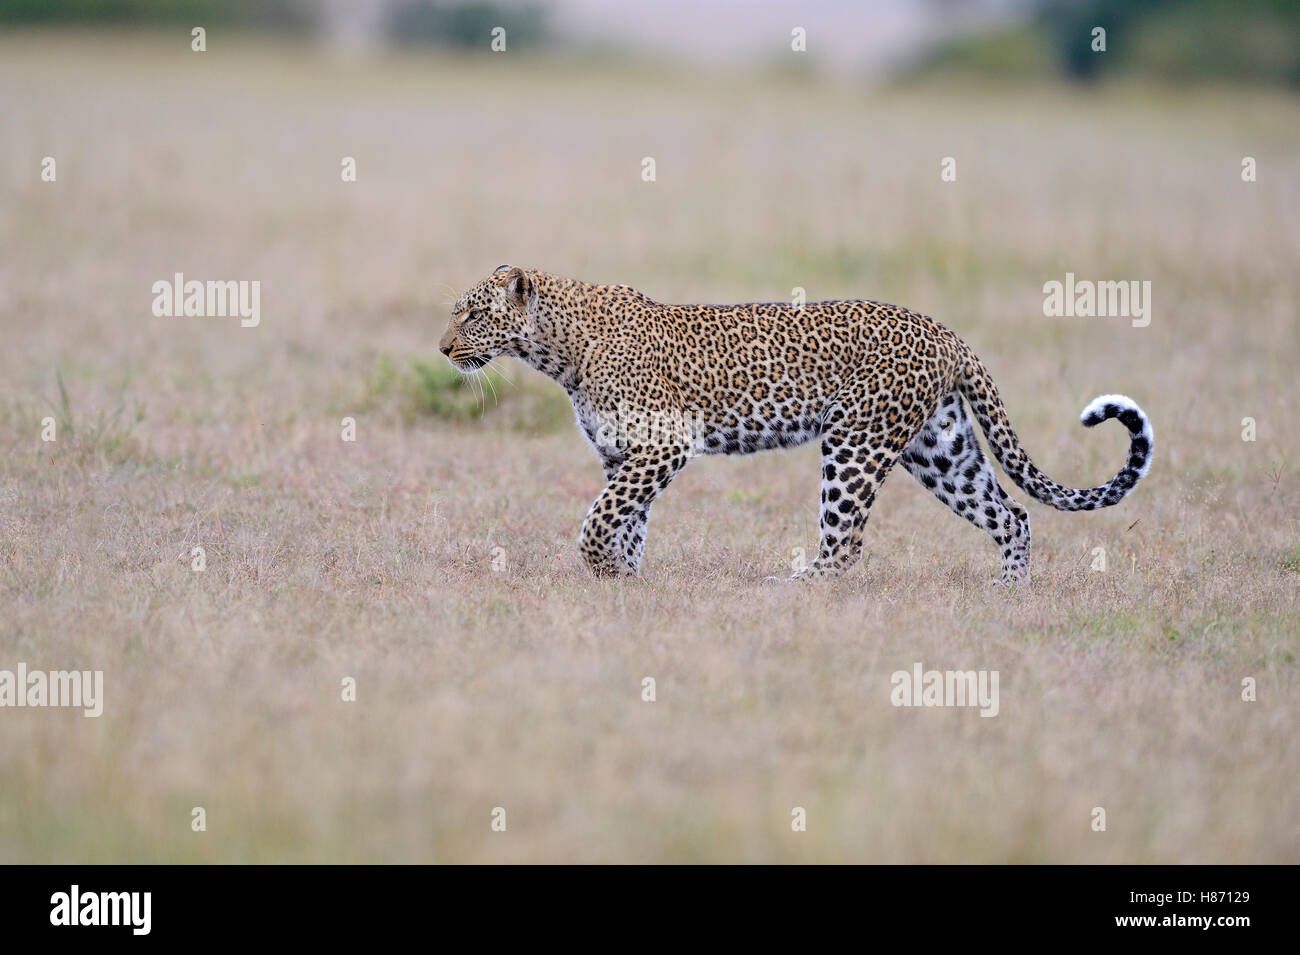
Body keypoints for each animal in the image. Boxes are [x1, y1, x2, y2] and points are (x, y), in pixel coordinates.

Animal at [439, 266, 1153, 582]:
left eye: (473, 314)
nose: (443, 348)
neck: (556, 351)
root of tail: (947, 334)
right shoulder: (624, 457)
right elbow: (625, 520)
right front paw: (626, 581)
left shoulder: (663, 446)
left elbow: (599, 518)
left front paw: (602, 571)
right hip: (941, 450)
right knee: (1013, 514)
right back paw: (1008, 596)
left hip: (855, 442)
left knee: (845, 544)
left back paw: (792, 590)